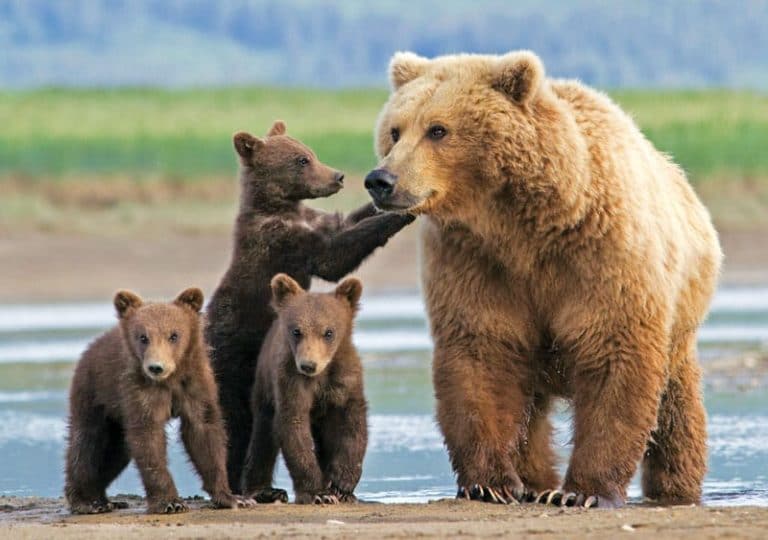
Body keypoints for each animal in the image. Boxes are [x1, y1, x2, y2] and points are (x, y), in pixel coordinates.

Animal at [64, 288, 253, 514]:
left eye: (174, 335)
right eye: (143, 337)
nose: (156, 367)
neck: (169, 380)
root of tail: (91, 348)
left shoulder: (194, 386)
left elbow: (204, 431)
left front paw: (233, 498)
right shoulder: (139, 390)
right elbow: (149, 438)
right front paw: (170, 502)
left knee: (116, 452)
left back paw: (106, 500)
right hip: (93, 394)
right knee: (87, 444)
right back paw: (87, 501)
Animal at [240, 273, 367, 505]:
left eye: (329, 332)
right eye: (296, 331)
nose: (309, 365)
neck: (320, 376)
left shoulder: (345, 379)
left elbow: (352, 422)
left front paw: (342, 485)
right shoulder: (290, 381)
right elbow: (294, 424)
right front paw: (318, 492)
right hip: (264, 388)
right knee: (262, 437)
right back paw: (265, 490)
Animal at [364, 50, 722, 508]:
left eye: (438, 129)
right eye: (394, 130)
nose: (380, 179)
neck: (523, 223)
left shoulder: (603, 258)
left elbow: (614, 357)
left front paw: (584, 493)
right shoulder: (476, 262)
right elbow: (481, 354)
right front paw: (489, 483)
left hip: (680, 318)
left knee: (677, 406)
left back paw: (675, 486)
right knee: (530, 412)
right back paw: (535, 482)